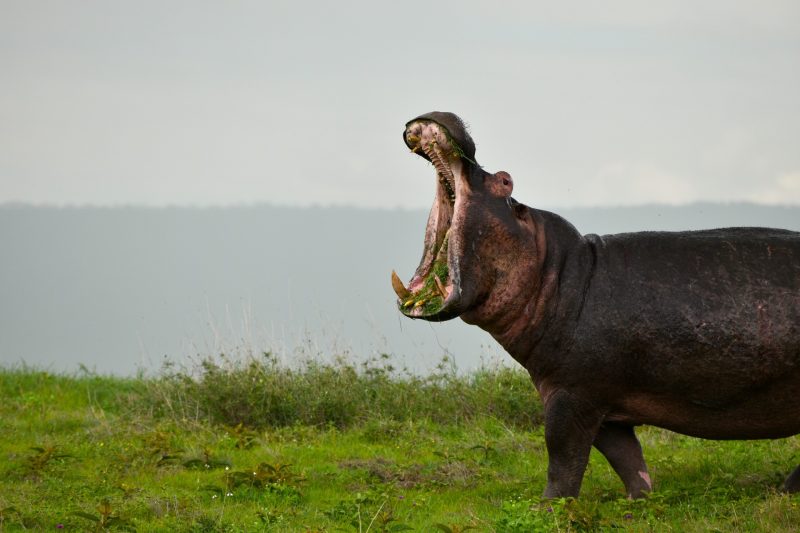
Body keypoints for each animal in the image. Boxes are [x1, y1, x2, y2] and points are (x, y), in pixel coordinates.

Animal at [391, 111, 800, 498]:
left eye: (505, 180)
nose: (450, 117)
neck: (553, 274)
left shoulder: (572, 394)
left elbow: (562, 457)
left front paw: (549, 506)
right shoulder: (602, 405)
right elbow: (626, 458)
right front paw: (639, 500)